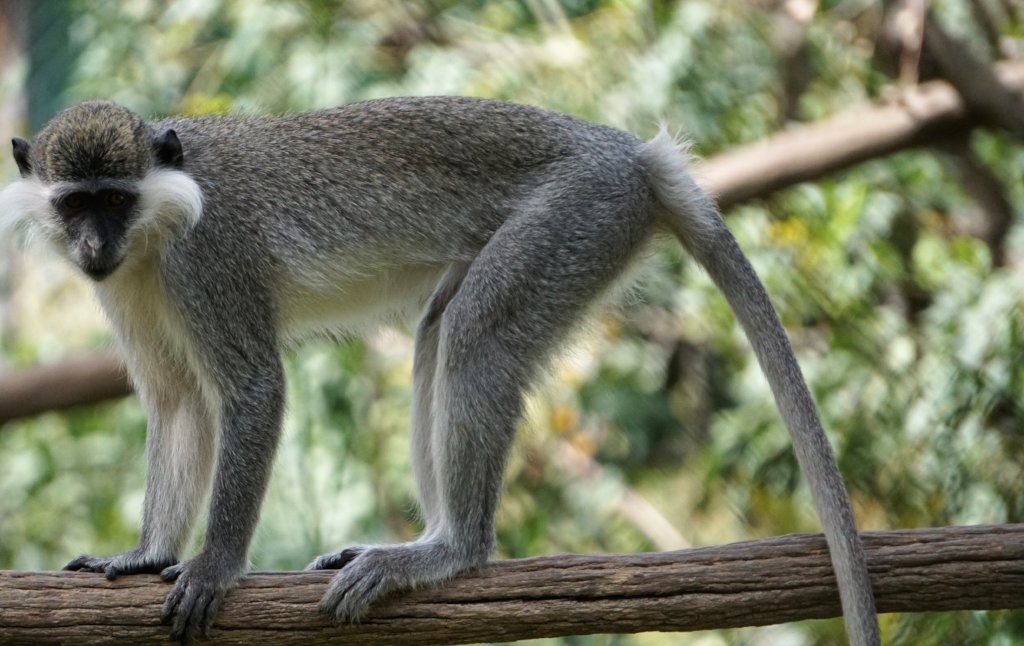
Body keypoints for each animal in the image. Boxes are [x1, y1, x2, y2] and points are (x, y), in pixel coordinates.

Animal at [0, 98, 879, 645]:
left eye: (114, 198)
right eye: (76, 205)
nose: (93, 247)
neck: (155, 227)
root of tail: (633, 154)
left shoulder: (208, 259)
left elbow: (252, 390)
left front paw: (215, 566)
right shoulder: (129, 285)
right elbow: (179, 402)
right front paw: (144, 555)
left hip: (577, 217)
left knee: (475, 336)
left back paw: (453, 550)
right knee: (437, 335)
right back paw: (422, 540)